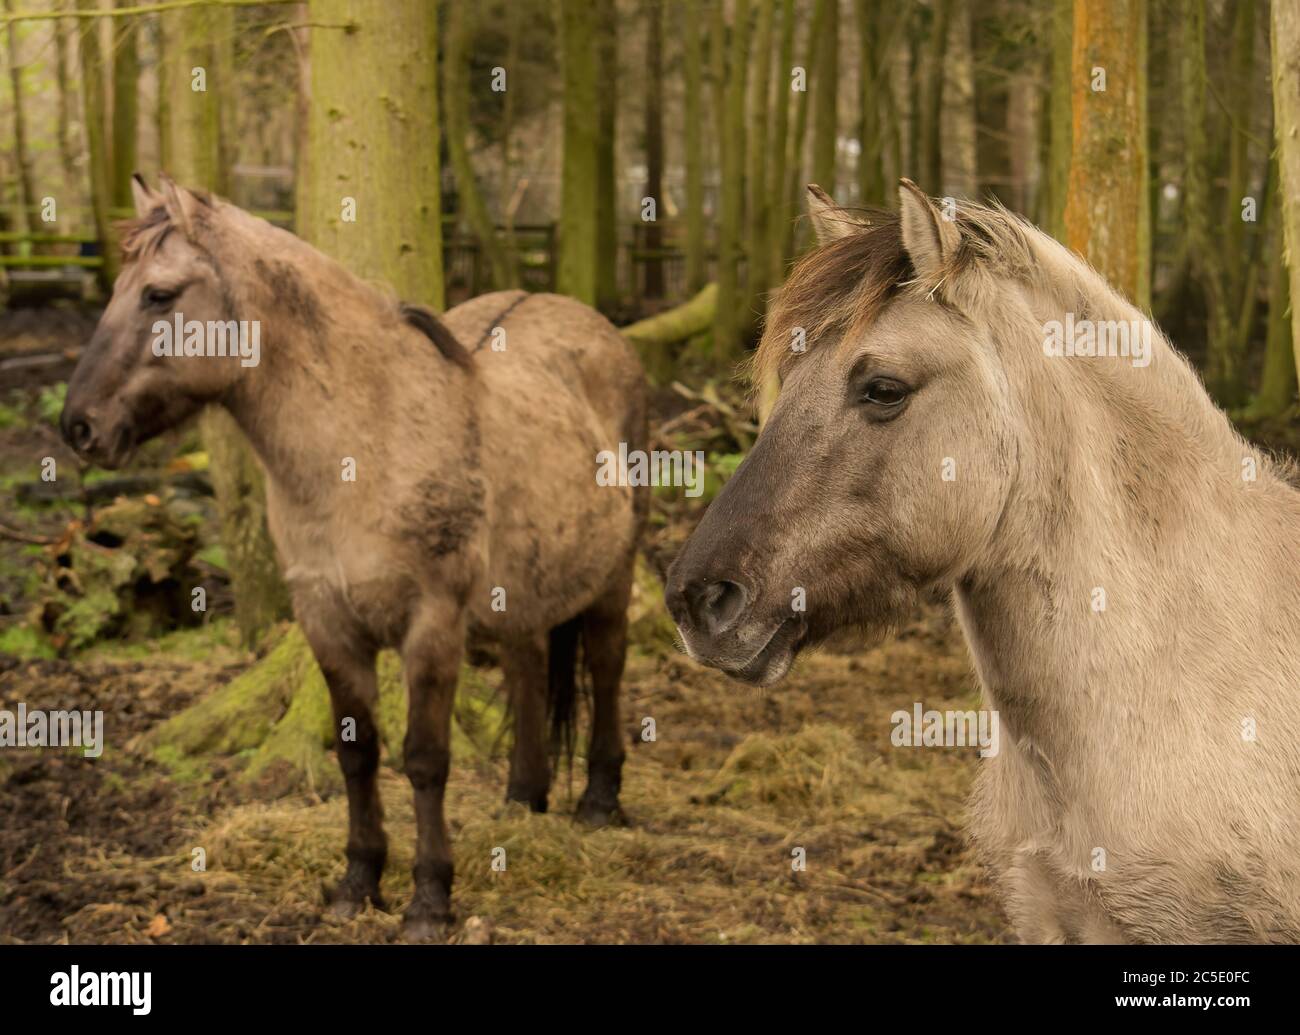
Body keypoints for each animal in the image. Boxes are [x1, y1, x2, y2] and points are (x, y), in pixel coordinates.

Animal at [60, 175, 646, 938]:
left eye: (159, 294)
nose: (77, 426)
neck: (365, 441)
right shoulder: (327, 620)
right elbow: (357, 751)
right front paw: (358, 881)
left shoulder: (431, 622)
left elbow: (424, 759)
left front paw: (430, 899)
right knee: (527, 666)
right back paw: (523, 797)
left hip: (614, 571)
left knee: (606, 665)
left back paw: (600, 800)